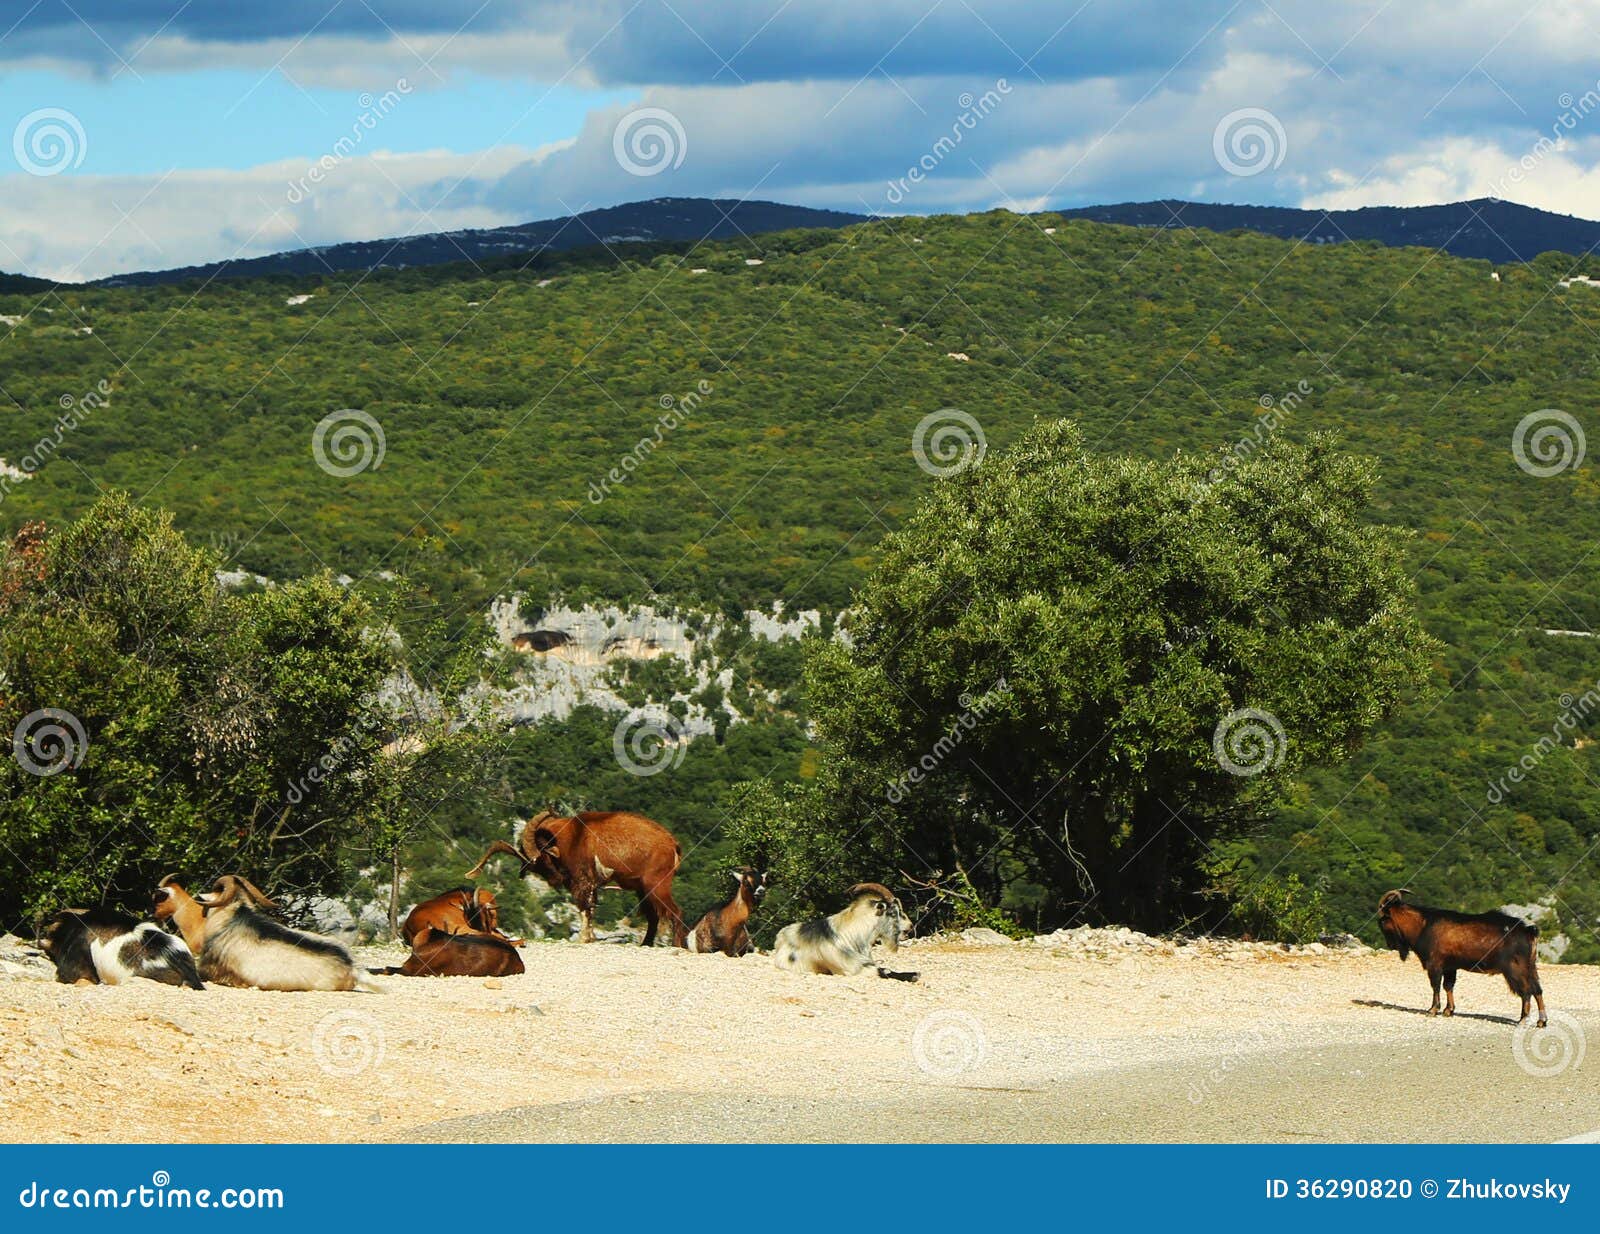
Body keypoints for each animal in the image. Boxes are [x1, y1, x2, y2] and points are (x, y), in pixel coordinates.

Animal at [465, 809, 686, 946]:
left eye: (542, 859)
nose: (555, 880)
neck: (573, 836)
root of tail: (672, 844)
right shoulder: (591, 883)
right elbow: (590, 909)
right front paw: (590, 938)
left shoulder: (582, 880)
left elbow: (584, 908)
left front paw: (583, 938)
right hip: (643, 888)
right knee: (653, 916)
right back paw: (646, 943)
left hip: (657, 883)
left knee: (675, 911)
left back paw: (676, 945)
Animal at [772, 883, 919, 981]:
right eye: (894, 913)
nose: (910, 926)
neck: (850, 936)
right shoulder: (853, 969)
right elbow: (882, 972)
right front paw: (913, 975)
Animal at [1378, 889, 1547, 1026]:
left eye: (1382, 920)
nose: (1391, 945)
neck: (1423, 925)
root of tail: (1529, 931)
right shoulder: (1450, 967)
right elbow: (1448, 986)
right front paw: (1448, 1010)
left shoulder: (1435, 964)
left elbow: (1435, 986)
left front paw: (1432, 1010)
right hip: (1530, 966)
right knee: (1537, 989)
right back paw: (1541, 1021)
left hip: (1515, 968)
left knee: (1527, 990)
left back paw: (1523, 1019)